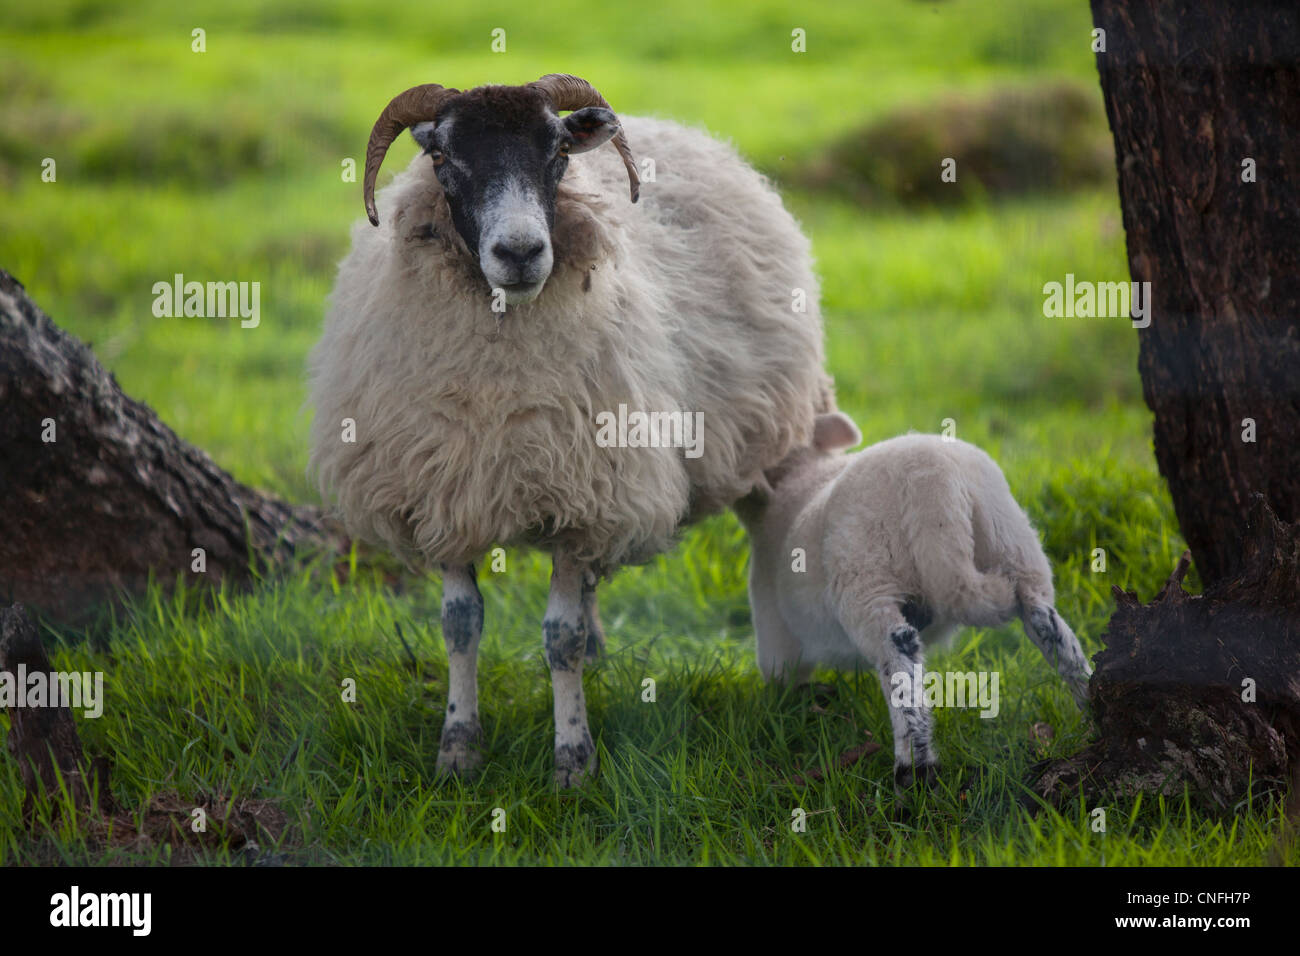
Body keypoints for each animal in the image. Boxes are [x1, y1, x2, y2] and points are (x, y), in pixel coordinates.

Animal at [307, 74, 833, 785]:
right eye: (442, 157)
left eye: (557, 151)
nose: (521, 252)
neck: (497, 392)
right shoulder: (441, 491)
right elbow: (459, 625)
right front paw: (459, 749)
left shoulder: (586, 499)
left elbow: (560, 639)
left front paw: (573, 762)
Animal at [734, 412, 1093, 791]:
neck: (799, 473)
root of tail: (934, 476)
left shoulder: (772, 620)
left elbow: (779, 671)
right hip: (1017, 547)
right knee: (1051, 629)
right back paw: (1091, 706)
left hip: (869, 583)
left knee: (900, 664)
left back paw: (913, 772)